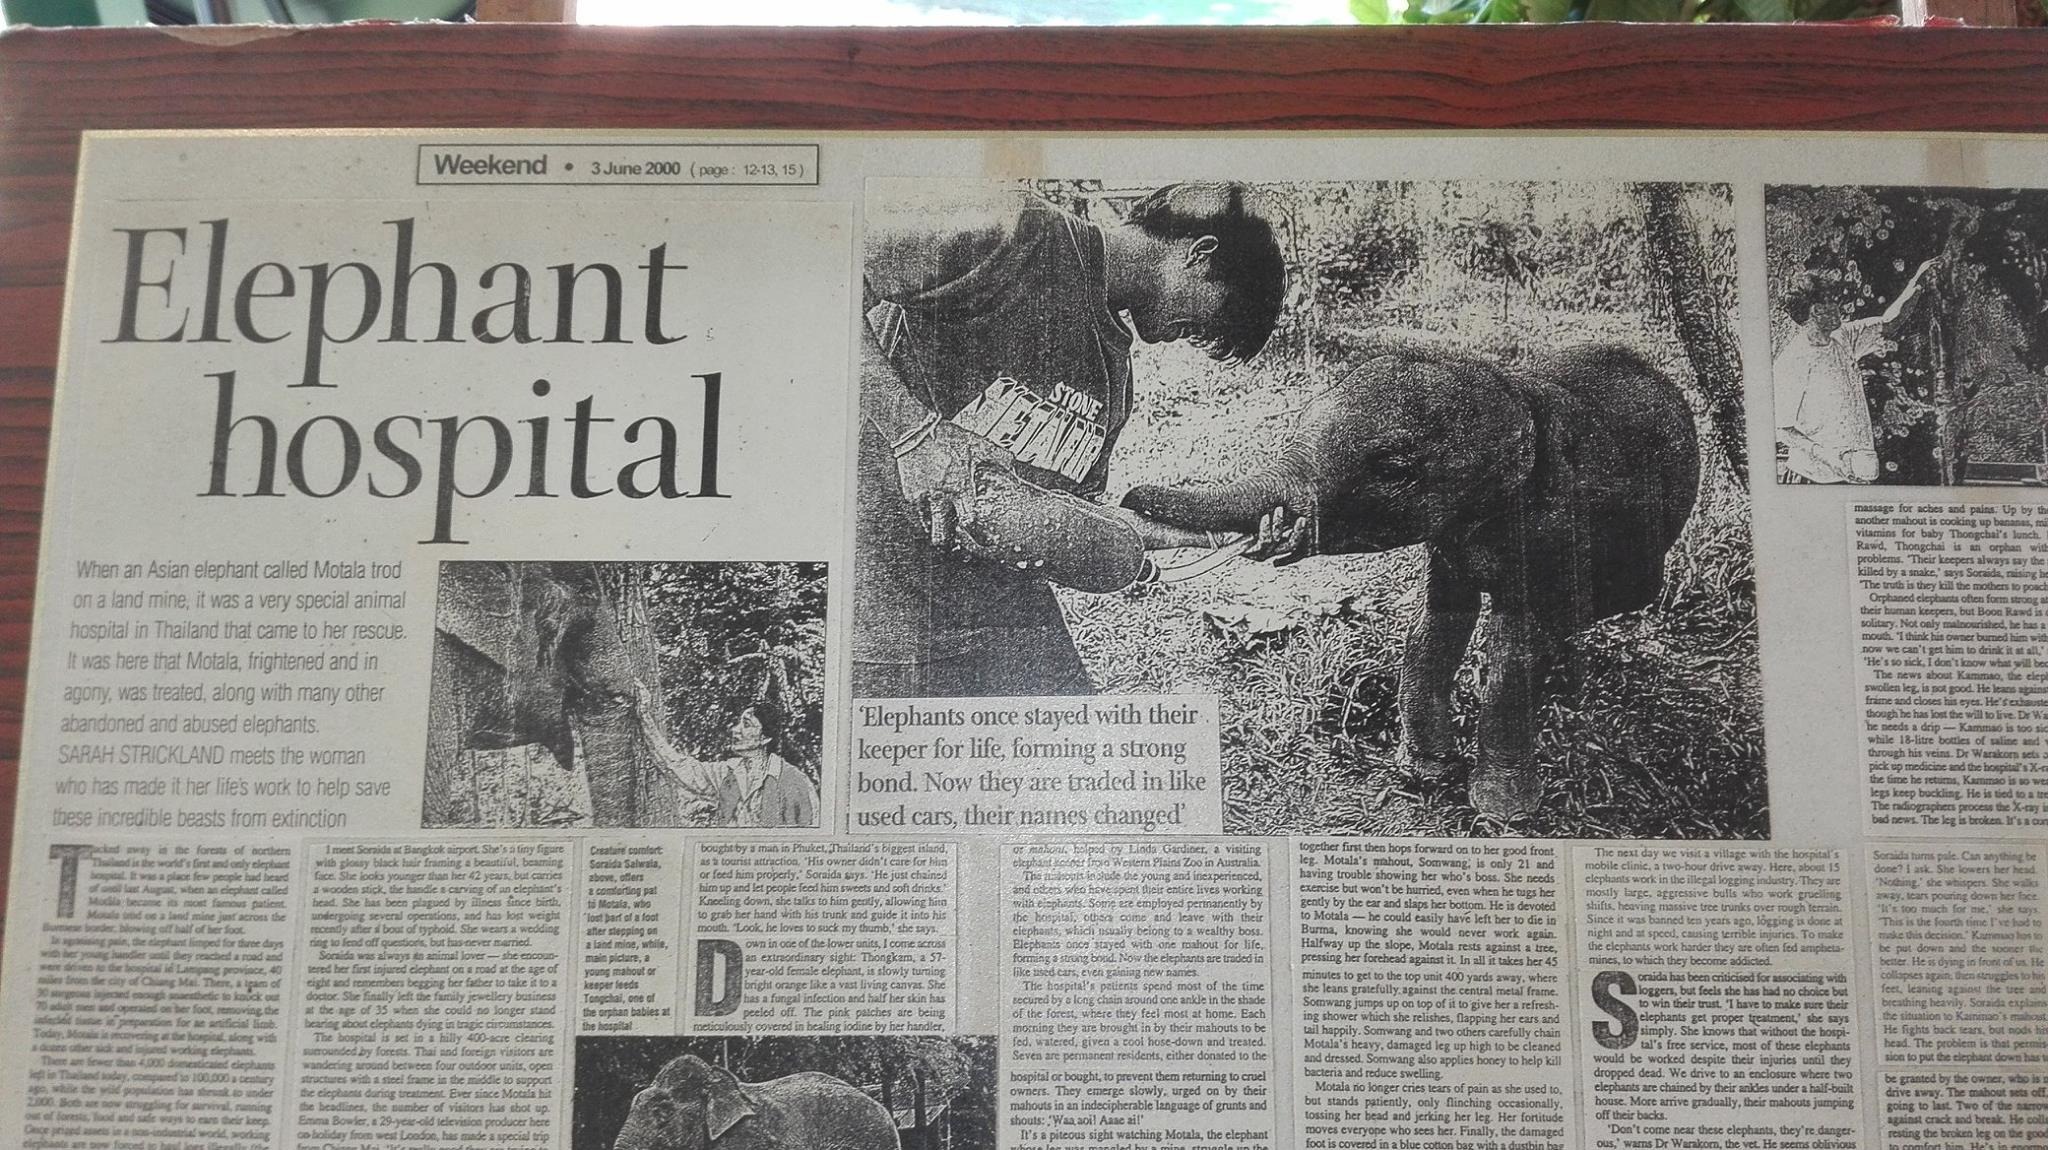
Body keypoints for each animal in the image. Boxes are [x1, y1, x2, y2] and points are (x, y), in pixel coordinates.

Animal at [1120, 334, 1700, 820]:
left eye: (1394, 469)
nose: (1126, 495)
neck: (1517, 394)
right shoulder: (1450, 539)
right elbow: (1433, 628)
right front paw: (1427, 775)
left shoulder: (1554, 528)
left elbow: (1513, 651)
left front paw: (1503, 813)